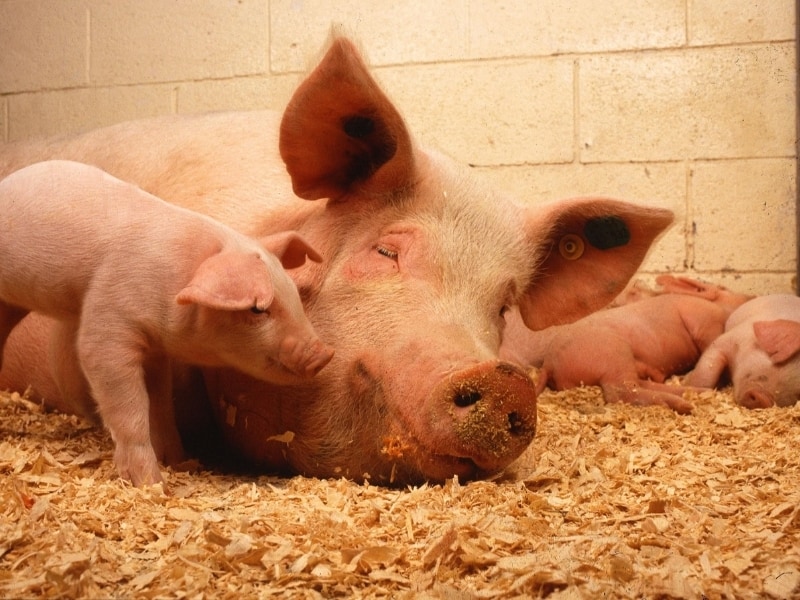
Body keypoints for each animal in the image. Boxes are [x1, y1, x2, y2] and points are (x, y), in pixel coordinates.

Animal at [0, 159, 333, 485]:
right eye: (256, 309)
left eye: (293, 293)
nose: (324, 353)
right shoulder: (108, 319)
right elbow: (128, 404)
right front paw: (151, 483)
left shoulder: (154, 350)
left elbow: (160, 406)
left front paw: (180, 463)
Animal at [500, 275, 753, 413]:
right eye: (726, 289)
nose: (750, 297)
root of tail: (549, 364)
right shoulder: (703, 319)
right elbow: (708, 341)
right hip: (614, 353)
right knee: (620, 392)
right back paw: (683, 405)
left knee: (638, 384)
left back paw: (692, 395)